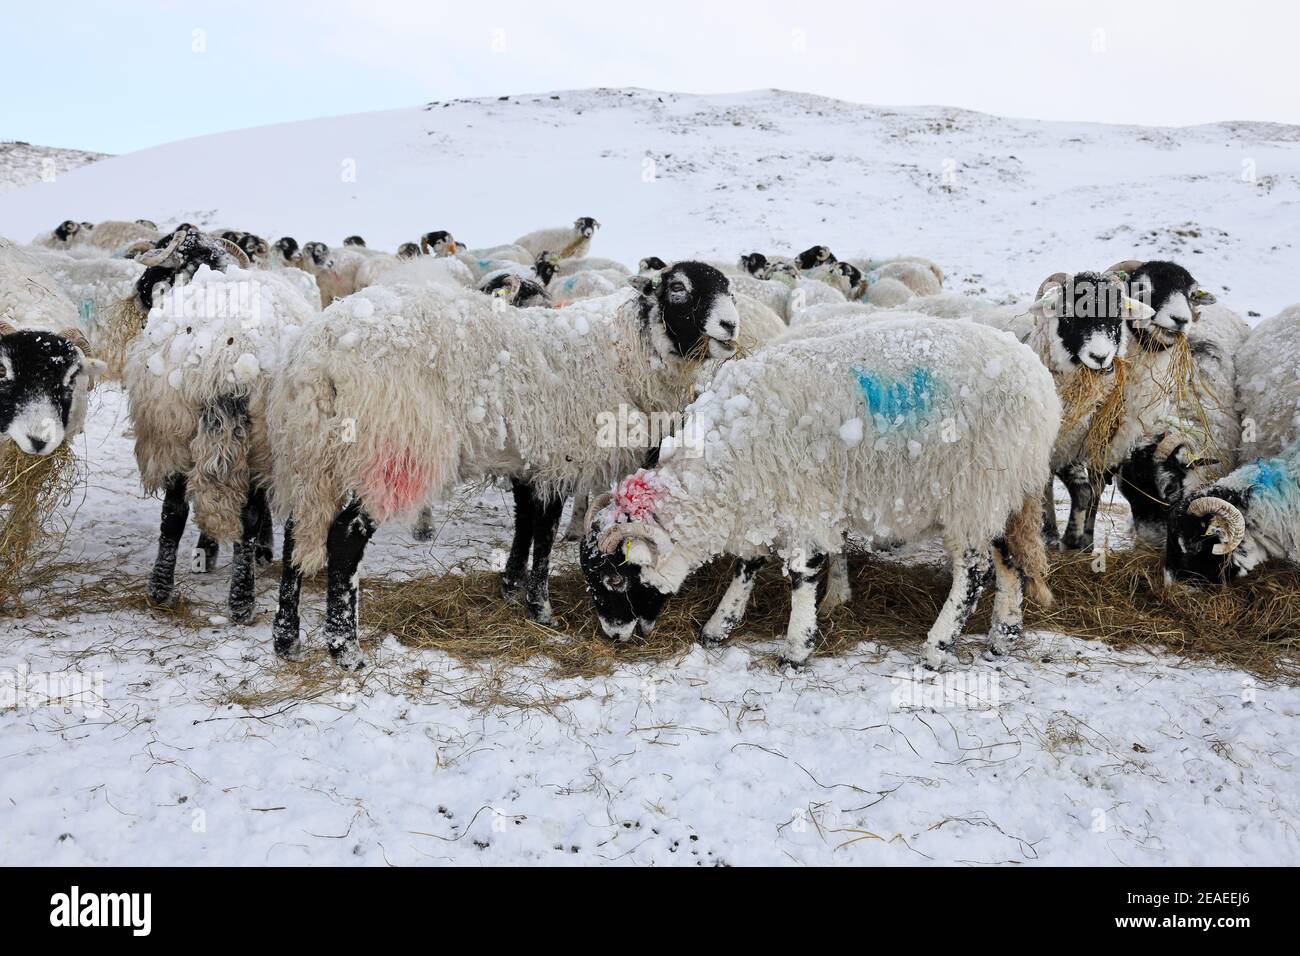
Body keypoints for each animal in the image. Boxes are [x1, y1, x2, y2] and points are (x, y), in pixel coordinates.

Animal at [123, 246, 317, 621]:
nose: (138, 295)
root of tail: (224, 356)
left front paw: (209, 550)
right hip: (257, 441)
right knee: (247, 517)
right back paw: (241, 599)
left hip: (176, 429)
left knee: (173, 512)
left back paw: (160, 589)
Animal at [265, 262, 745, 669]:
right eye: (678, 288)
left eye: (729, 289)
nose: (731, 326)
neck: (622, 354)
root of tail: (320, 355)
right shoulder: (559, 457)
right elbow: (545, 534)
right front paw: (541, 608)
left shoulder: (527, 461)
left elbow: (525, 522)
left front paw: (511, 587)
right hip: (393, 450)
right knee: (345, 538)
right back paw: (345, 648)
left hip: (310, 453)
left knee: (294, 532)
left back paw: (287, 639)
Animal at [580, 313, 1060, 670]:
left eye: (616, 578)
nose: (613, 635)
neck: (725, 462)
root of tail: (1040, 387)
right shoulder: (766, 501)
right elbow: (749, 562)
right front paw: (721, 625)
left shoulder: (803, 500)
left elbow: (801, 573)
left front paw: (797, 647)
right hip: (1000, 492)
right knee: (1008, 557)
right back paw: (1004, 635)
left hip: (973, 489)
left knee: (973, 569)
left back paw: (937, 648)